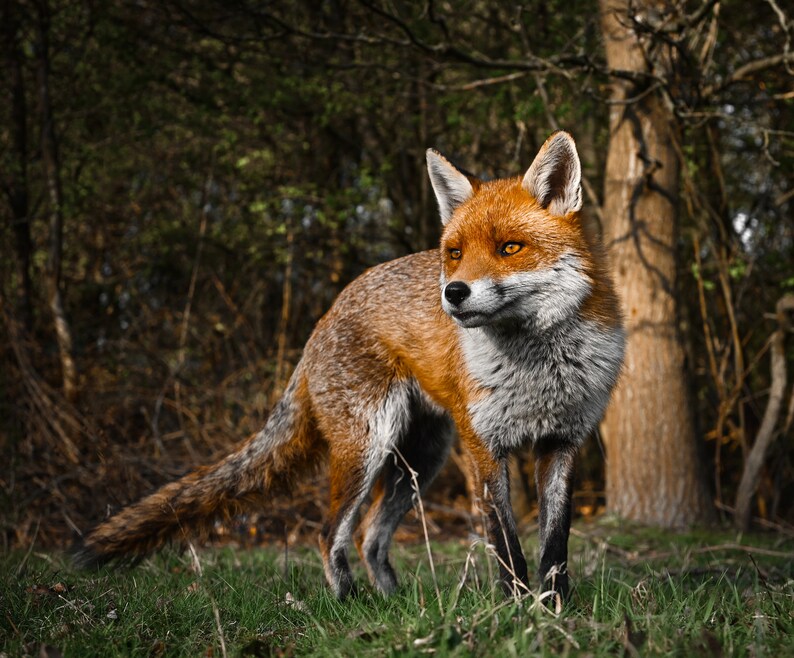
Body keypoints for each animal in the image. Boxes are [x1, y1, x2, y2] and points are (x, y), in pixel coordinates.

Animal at [75, 131, 625, 602]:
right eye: (455, 253)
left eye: (510, 248)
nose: (453, 293)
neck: (539, 370)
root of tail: (328, 313)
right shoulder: (484, 448)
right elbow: (506, 545)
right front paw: (515, 609)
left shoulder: (562, 443)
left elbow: (555, 545)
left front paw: (554, 609)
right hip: (369, 446)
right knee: (329, 534)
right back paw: (347, 603)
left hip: (419, 462)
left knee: (369, 537)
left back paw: (393, 604)